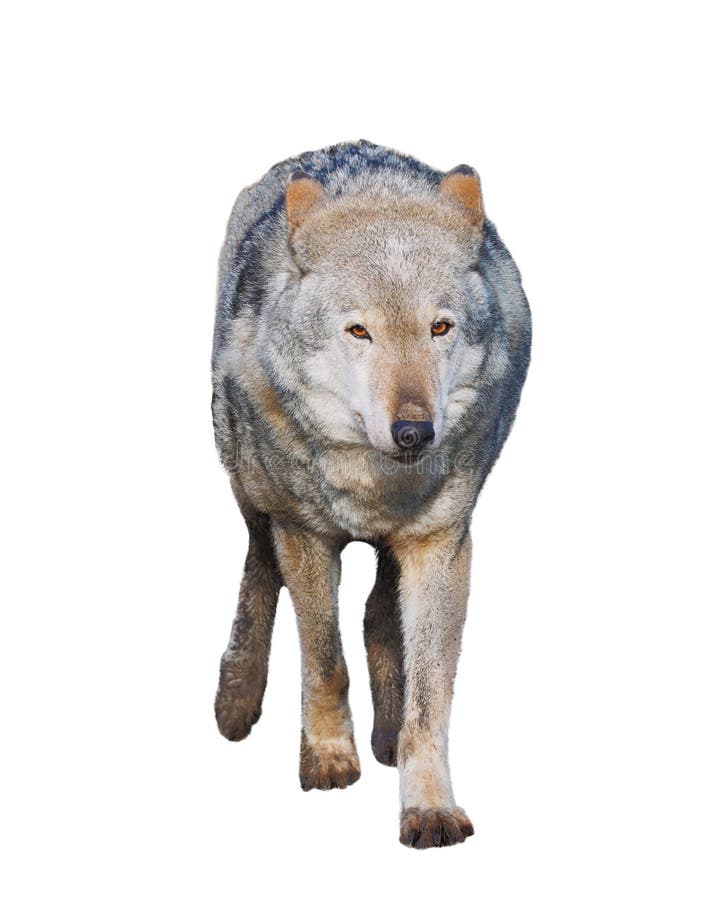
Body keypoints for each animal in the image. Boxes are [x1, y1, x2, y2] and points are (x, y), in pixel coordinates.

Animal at [211, 139, 531, 849]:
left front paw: (429, 805)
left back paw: (386, 731)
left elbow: (429, 699)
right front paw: (329, 760)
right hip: (249, 485)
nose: (414, 430)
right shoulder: (303, 532)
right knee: (257, 570)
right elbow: (324, 658)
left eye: (440, 327)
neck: (376, 486)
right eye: (359, 332)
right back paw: (236, 696)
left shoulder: (441, 544)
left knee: (377, 615)